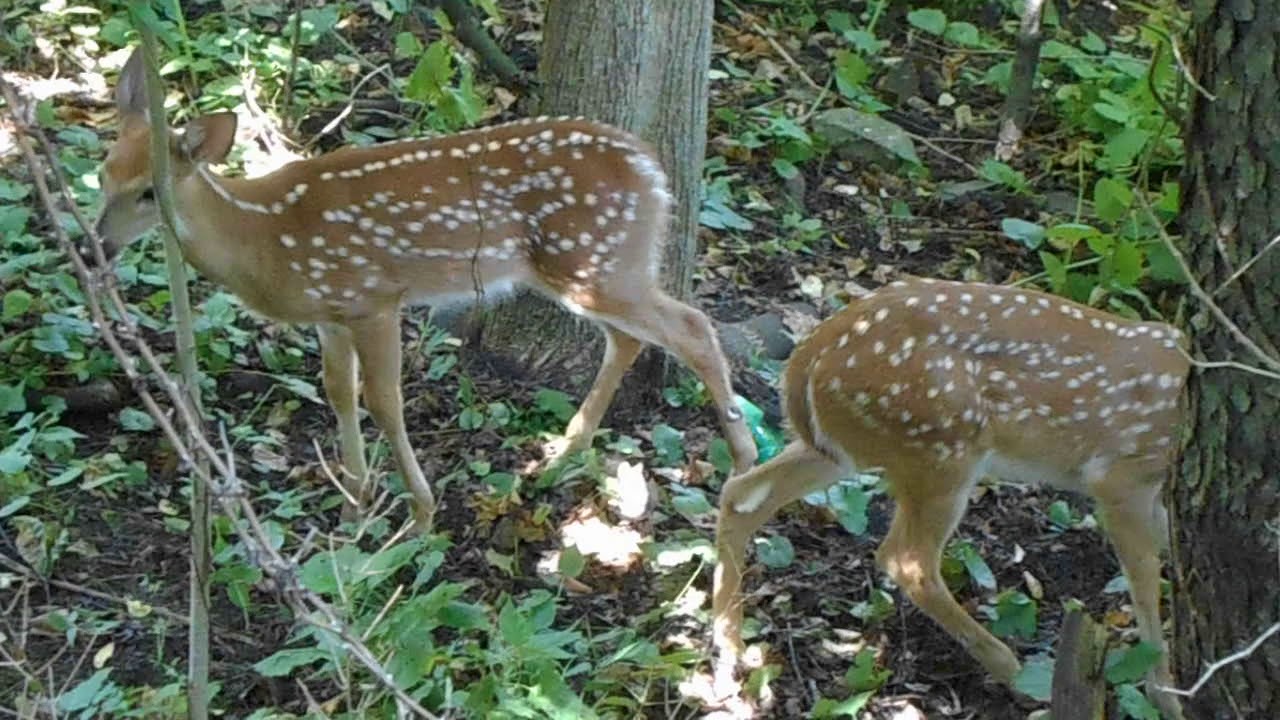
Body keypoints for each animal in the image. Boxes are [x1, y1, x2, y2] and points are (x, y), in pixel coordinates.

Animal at [95, 47, 759, 534]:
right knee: (629, 340)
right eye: (103, 173)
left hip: (596, 259)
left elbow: (385, 402)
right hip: (592, 266)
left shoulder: (374, 298)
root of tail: (654, 173)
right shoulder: (331, 312)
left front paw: (417, 513)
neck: (262, 235)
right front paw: (354, 501)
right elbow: (338, 392)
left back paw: (745, 463)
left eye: (150, 192)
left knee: (692, 327)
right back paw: (563, 451)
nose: (96, 243)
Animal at [710, 277, 1189, 719]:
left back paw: (729, 646)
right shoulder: (1122, 475)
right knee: (906, 559)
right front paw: (1168, 697)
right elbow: (1147, 581)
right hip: (940, 448)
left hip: (845, 449)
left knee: (739, 496)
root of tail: (808, 355)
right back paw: (1012, 668)